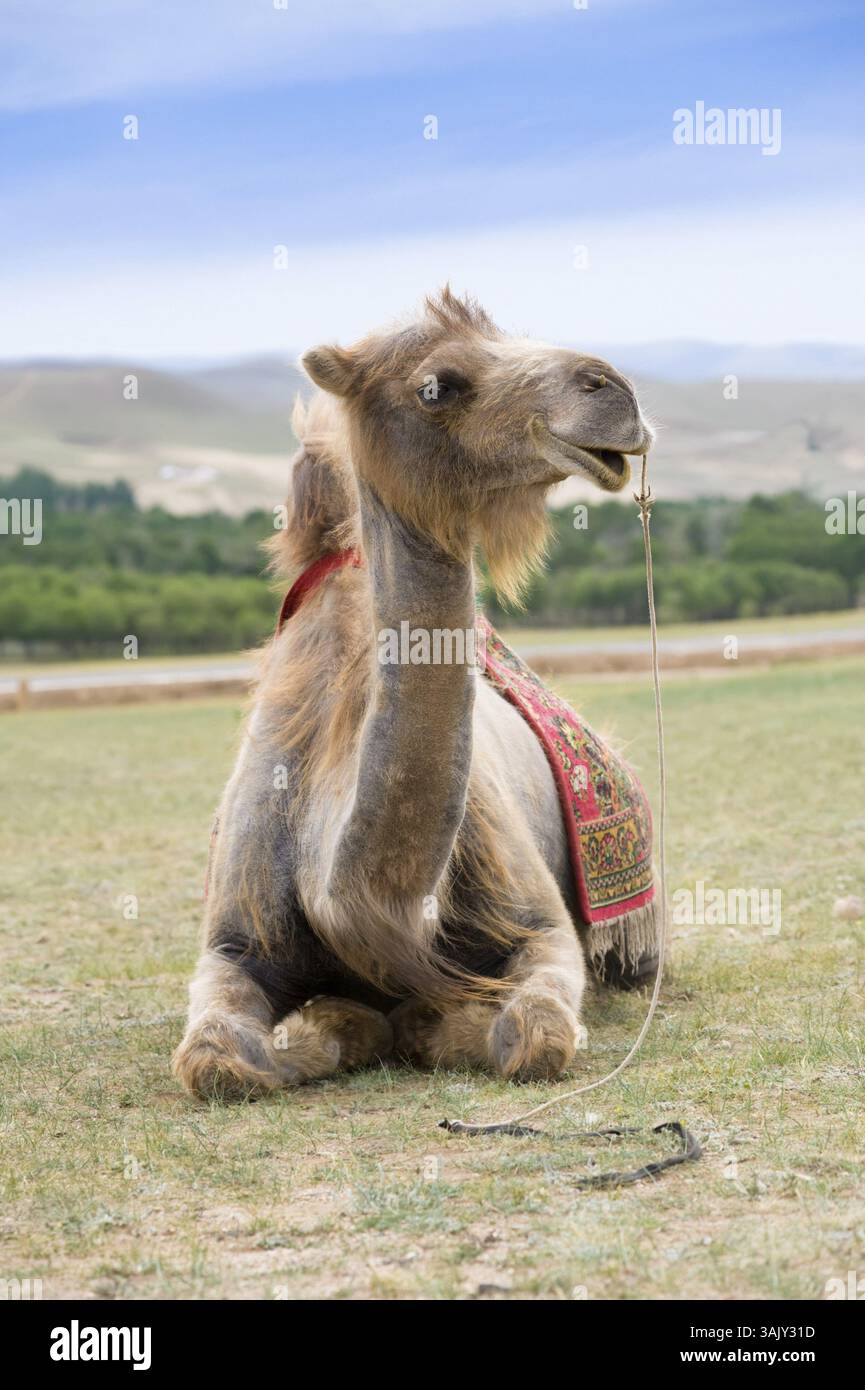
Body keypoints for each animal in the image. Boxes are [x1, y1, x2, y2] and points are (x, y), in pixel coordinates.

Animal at [173, 289, 658, 1101]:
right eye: (436, 386)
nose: (612, 389)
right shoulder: (233, 942)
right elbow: (215, 1060)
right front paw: (338, 1019)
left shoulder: (542, 929)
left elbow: (535, 1034)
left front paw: (410, 1019)